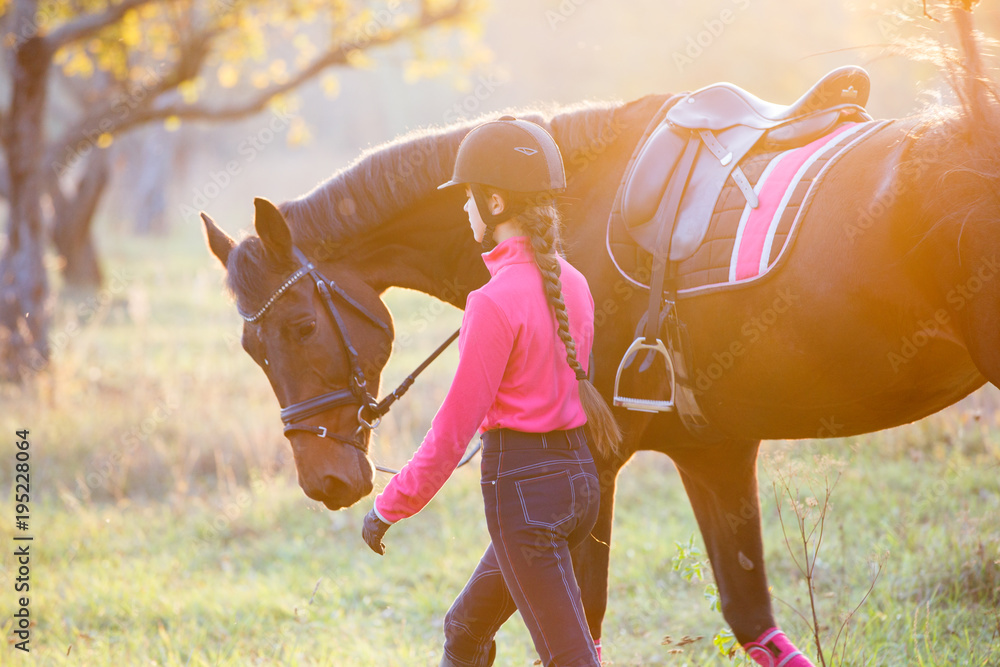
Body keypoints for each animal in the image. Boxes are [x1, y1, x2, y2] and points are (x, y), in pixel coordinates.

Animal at [200, 25, 1000, 663]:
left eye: (301, 327)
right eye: (252, 350)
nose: (324, 480)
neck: (569, 213)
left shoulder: (598, 458)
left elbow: (559, 622)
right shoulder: (713, 453)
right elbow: (747, 618)